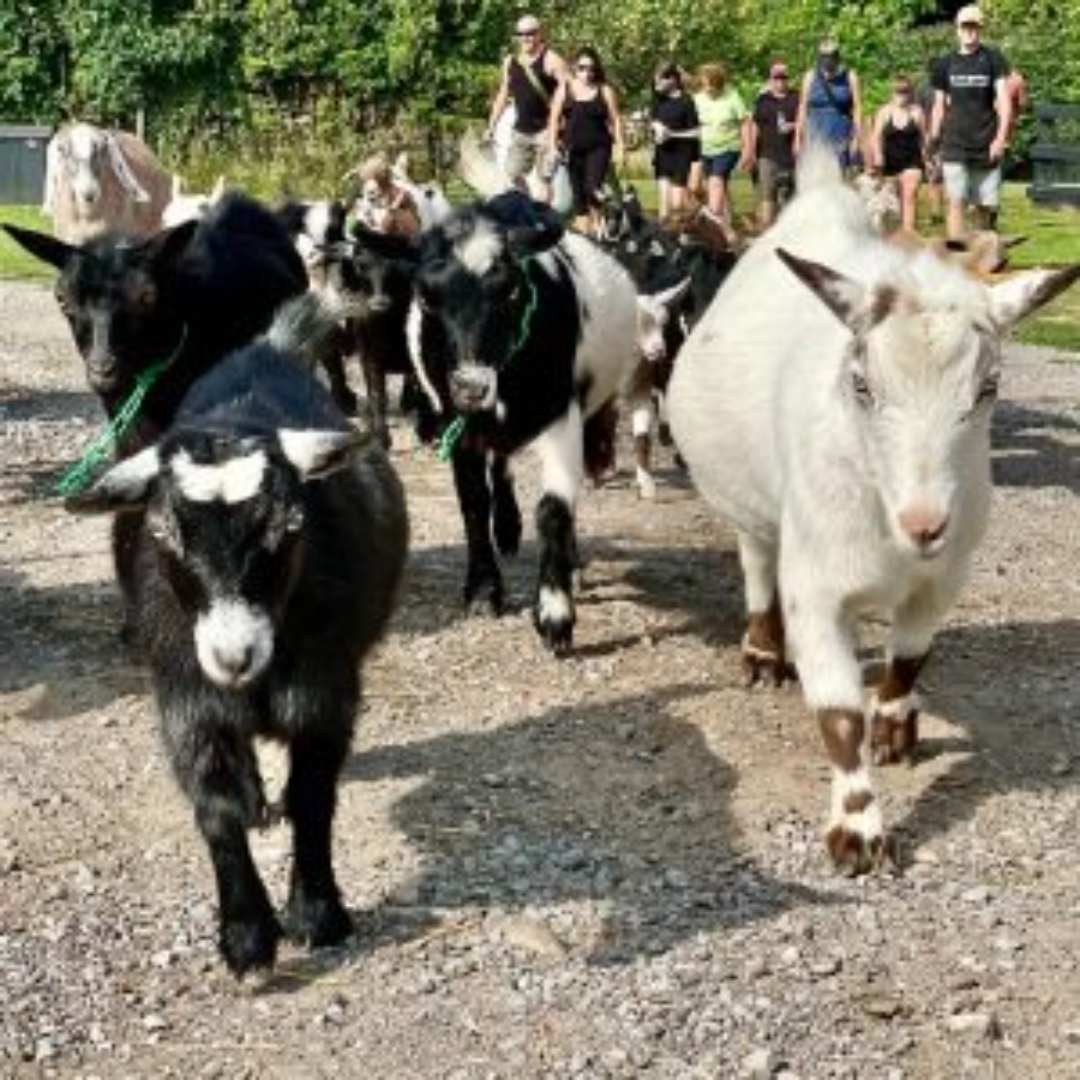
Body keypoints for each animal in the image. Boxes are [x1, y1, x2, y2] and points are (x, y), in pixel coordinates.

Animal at [66, 294, 408, 976]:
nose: (233, 654)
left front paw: (317, 914)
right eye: (164, 531)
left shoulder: (326, 694)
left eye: (289, 524)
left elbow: (312, 796)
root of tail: (269, 348)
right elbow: (216, 806)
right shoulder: (187, 698)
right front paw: (247, 935)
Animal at [668, 140, 1079, 874]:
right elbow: (837, 713)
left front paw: (895, 728)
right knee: (758, 561)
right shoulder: (819, 582)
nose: (925, 523)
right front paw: (858, 831)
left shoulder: (943, 575)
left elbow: (910, 657)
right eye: (861, 384)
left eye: (988, 388)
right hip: (751, 508)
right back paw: (764, 654)